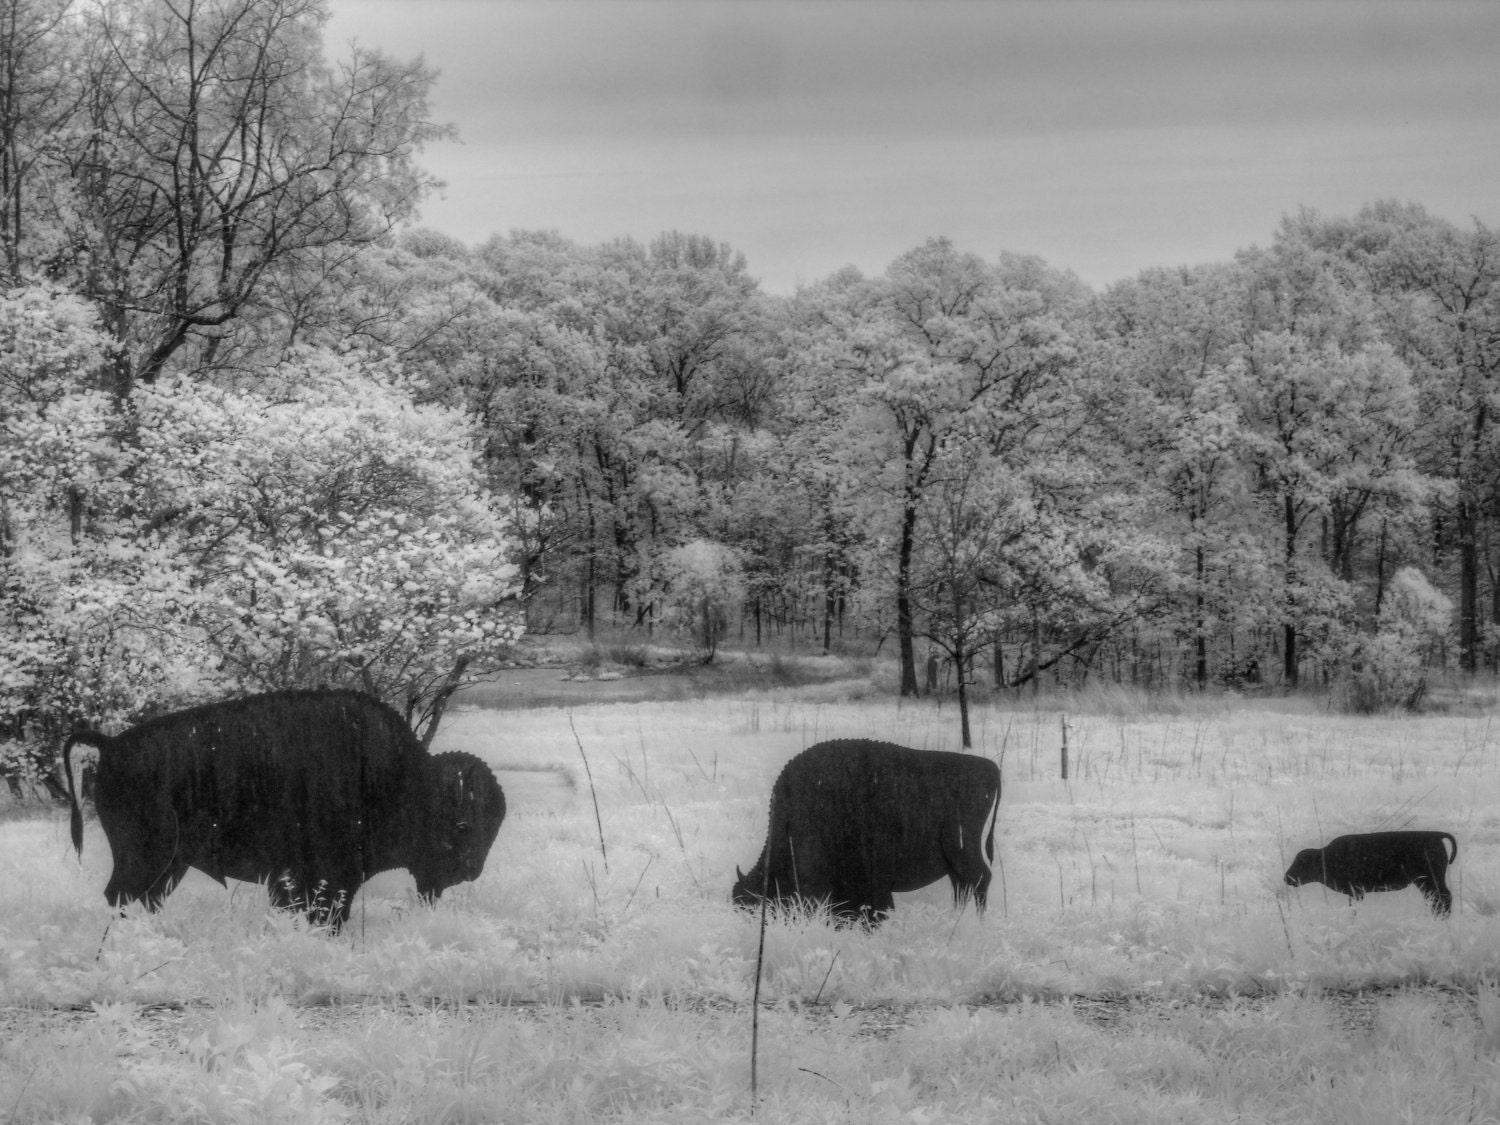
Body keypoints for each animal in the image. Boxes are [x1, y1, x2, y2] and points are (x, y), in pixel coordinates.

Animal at [63, 689, 505, 929]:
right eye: (463, 825)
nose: (471, 870)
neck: (403, 778)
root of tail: (113, 746)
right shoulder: (329, 878)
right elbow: (327, 915)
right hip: (146, 856)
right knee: (122, 896)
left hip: (172, 863)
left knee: (148, 898)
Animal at [733, 739, 1001, 926]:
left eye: (753, 903)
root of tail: (991, 768)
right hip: (954, 859)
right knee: (962, 885)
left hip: (961, 848)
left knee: (980, 878)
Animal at [1284, 830, 1457, 916]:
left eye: (1302, 863)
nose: (1286, 878)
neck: (1326, 857)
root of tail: (1436, 835)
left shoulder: (1357, 892)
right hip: (1424, 882)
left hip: (1429, 880)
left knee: (1443, 897)